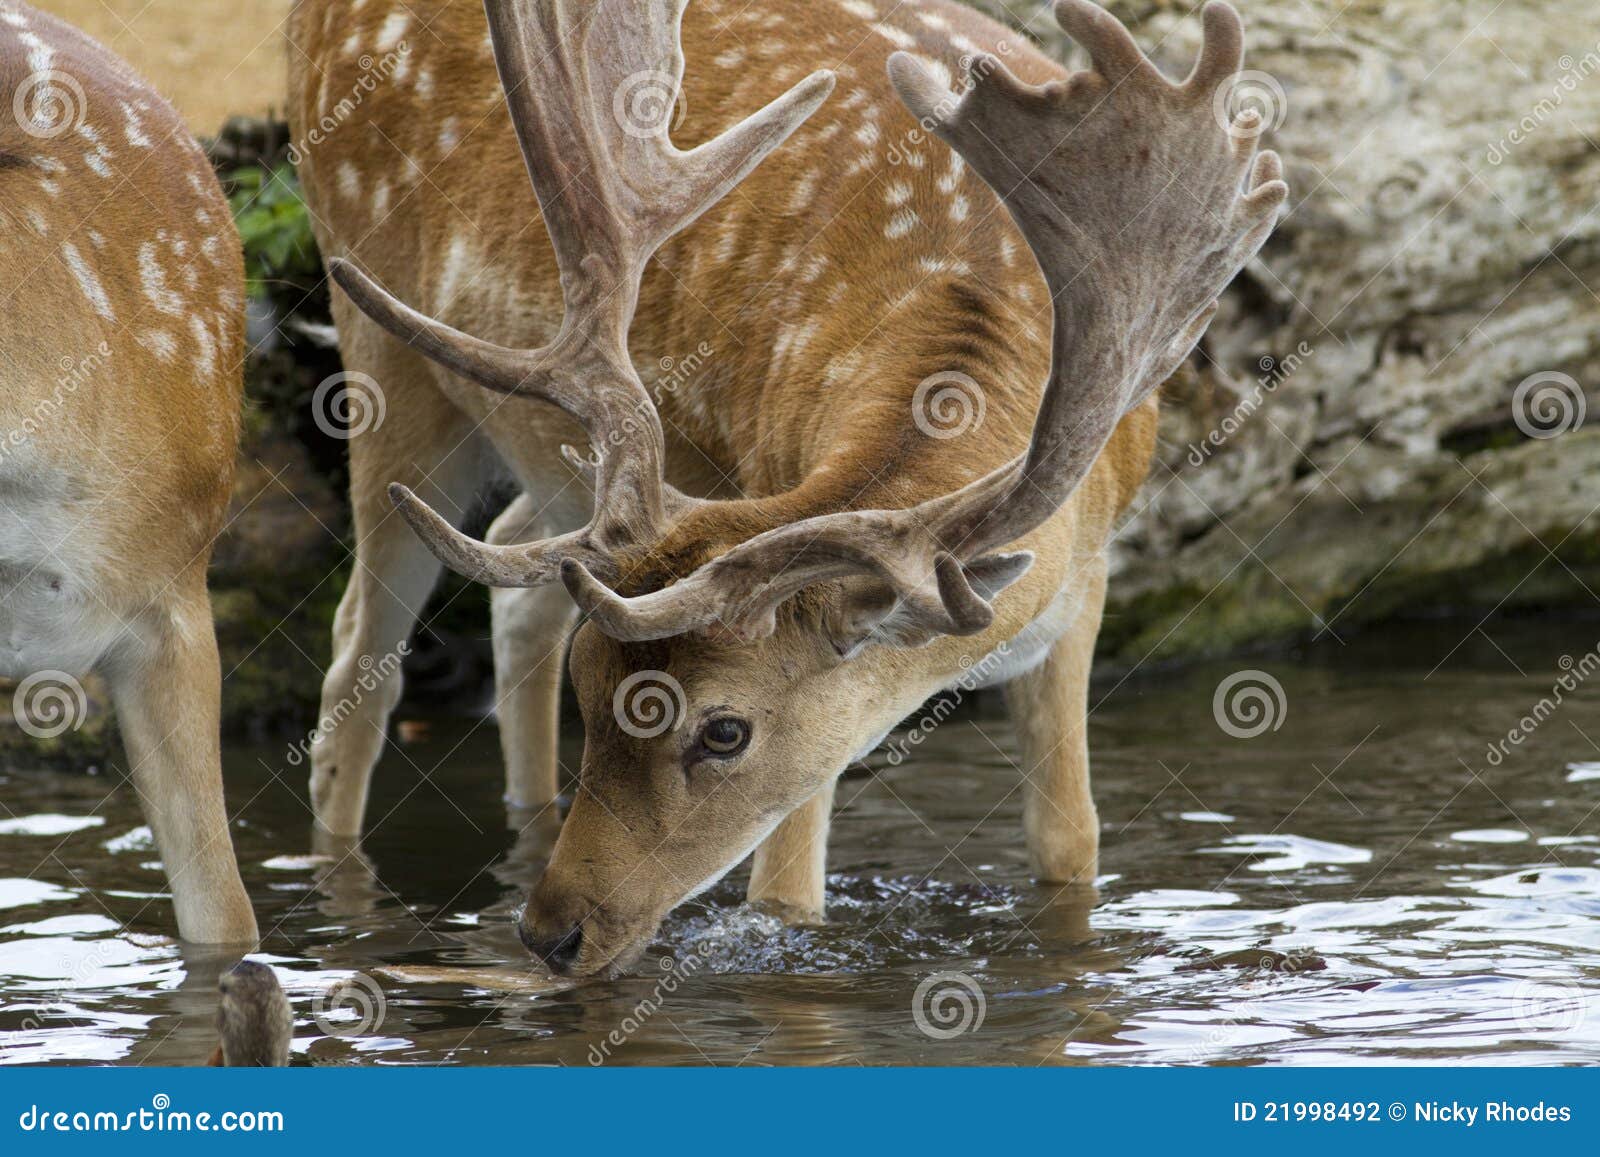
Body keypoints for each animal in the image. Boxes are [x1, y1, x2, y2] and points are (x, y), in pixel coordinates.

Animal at [288, 0, 1285, 978]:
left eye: (724, 728)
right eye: (592, 679)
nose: (551, 934)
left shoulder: (1081, 596)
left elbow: (1071, 844)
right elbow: (785, 901)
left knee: (511, 580)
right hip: (380, 359)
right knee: (358, 664)